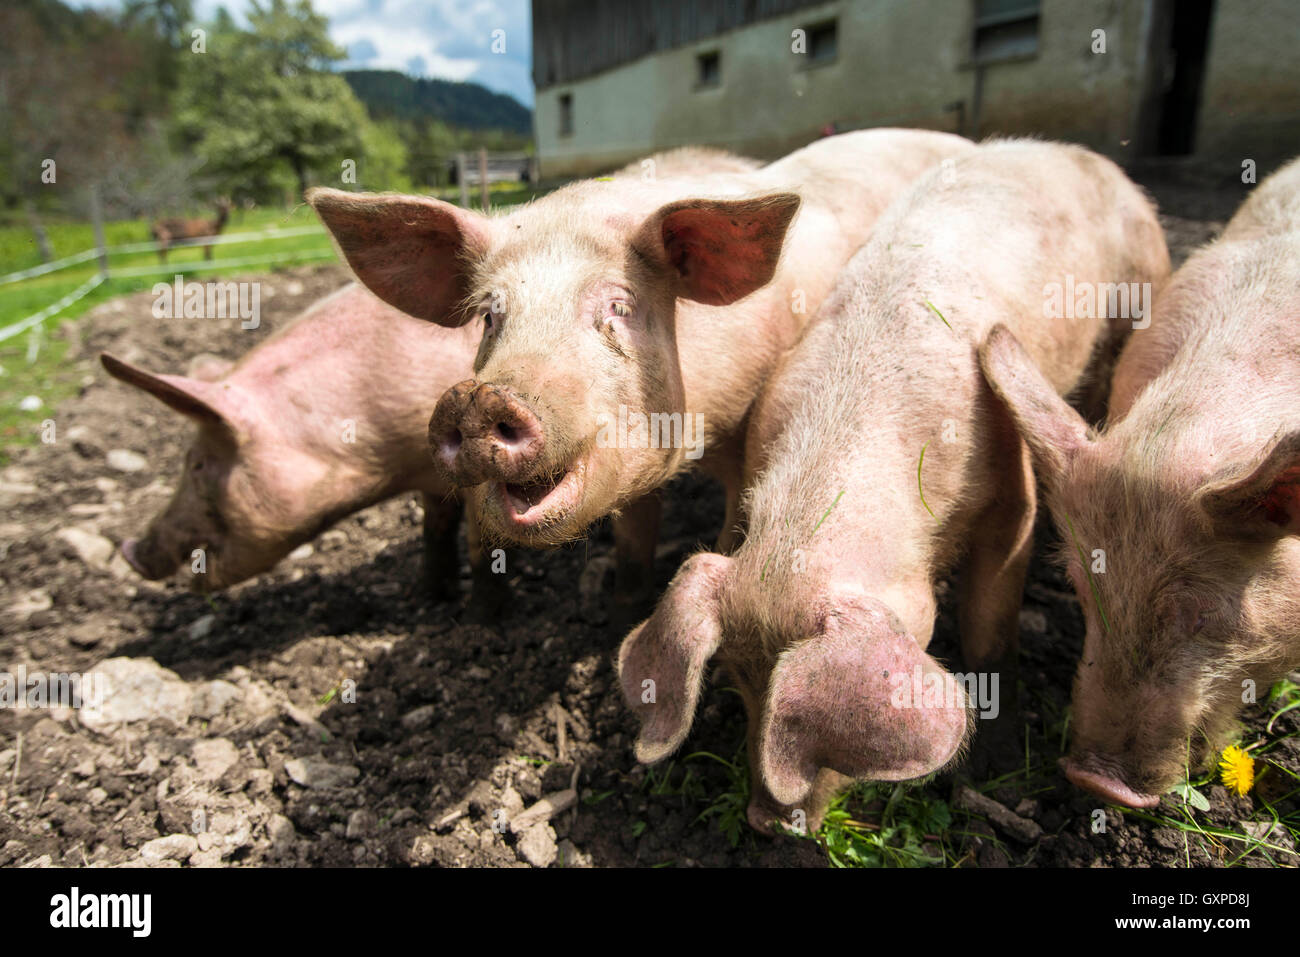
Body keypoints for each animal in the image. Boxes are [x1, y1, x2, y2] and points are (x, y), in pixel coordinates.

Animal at [102, 282, 485, 596]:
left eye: (197, 464)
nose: (130, 551)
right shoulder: (433, 481)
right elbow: (435, 529)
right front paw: (429, 595)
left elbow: (479, 548)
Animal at [307, 129, 974, 620]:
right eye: (490, 314)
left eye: (620, 307)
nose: (477, 399)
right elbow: (633, 534)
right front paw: (621, 611)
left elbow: (734, 516)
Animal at [618, 139, 1171, 833]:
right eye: (739, 680)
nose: (765, 821)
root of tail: (1079, 153)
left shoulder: (1011, 497)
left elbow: (990, 627)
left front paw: (992, 760)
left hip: (1140, 291)